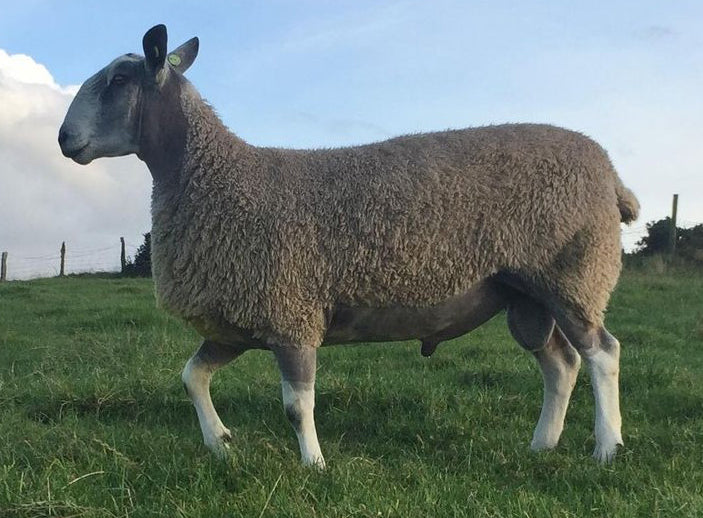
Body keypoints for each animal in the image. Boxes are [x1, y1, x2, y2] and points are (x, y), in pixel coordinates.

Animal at [58, 24, 639, 466]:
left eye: (118, 79)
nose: (64, 140)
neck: (216, 178)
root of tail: (610, 173)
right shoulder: (237, 323)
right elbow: (190, 377)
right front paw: (220, 443)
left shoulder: (290, 312)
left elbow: (296, 406)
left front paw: (314, 464)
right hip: (526, 296)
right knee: (560, 365)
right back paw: (541, 445)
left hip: (572, 274)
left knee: (602, 354)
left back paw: (607, 448)